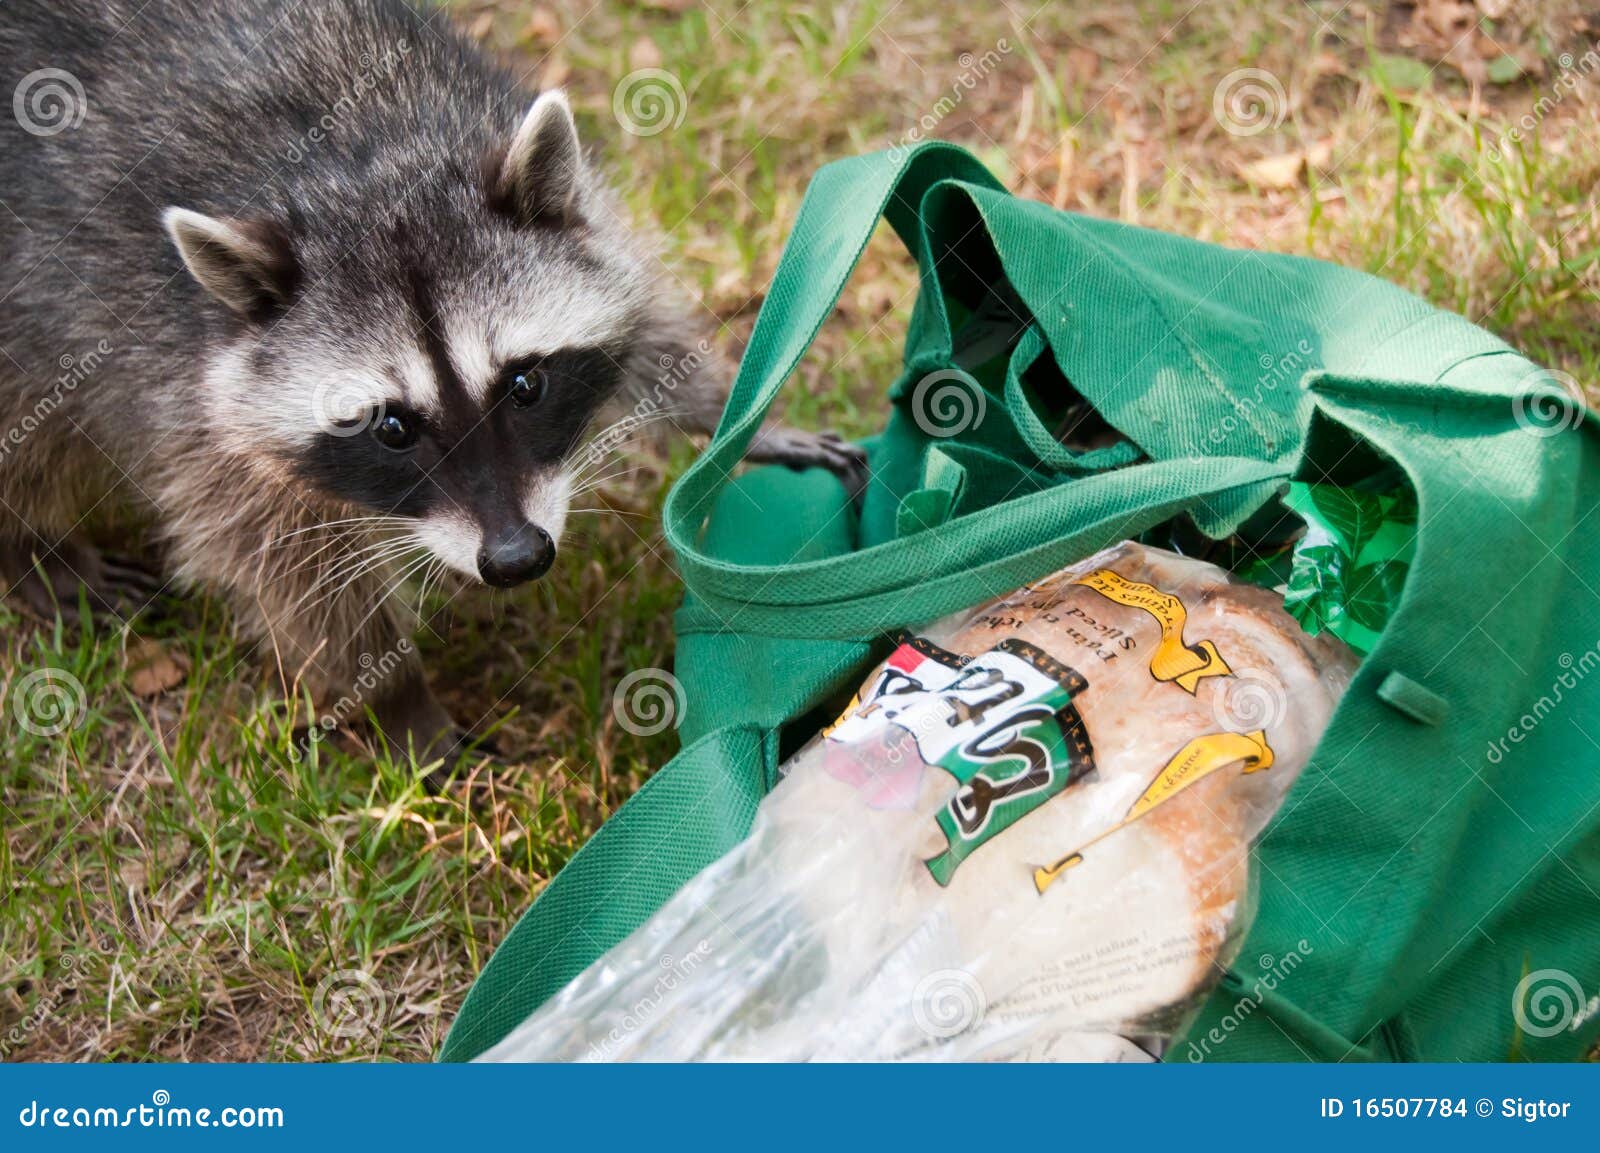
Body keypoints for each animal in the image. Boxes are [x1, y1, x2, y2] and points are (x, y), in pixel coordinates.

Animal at [0, 0, 861, 761]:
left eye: (525, 385)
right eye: (391, 427)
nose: (517, 558)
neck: (356, 162)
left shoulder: (564, 199)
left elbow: (644, 315)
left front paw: (731, 414)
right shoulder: (181, 383)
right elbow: (284, 566)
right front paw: (397, 699)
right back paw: (34, 545)